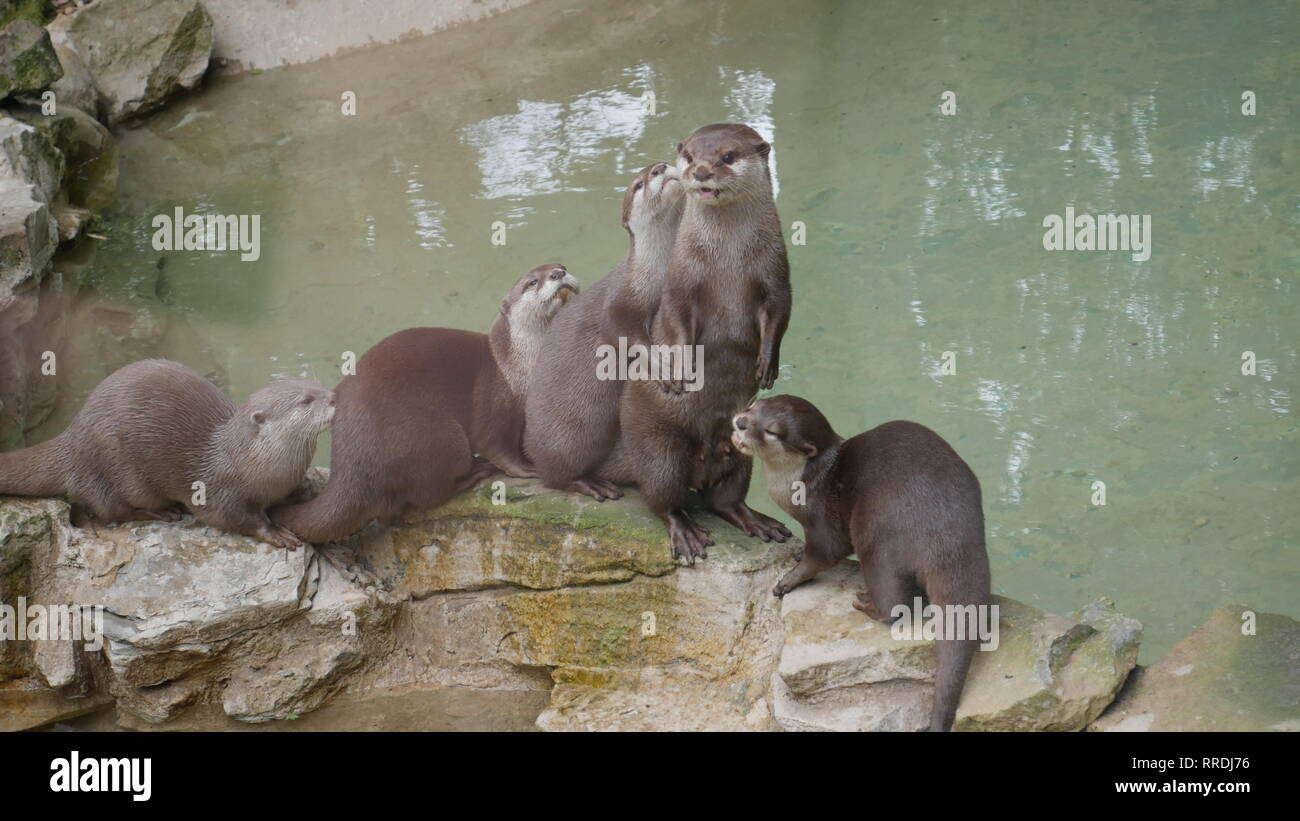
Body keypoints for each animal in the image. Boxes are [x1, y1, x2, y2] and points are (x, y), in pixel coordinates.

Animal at [0, 359, 334, 549]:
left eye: (317, 384)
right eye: (306, 400)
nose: (334, 396)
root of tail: (72, 437)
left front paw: (302, 487)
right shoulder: (222, 493)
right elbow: (239, 519)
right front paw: (275, 531)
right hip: (110, 467)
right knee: (114, 511)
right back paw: (162, 513)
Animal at [271, 264, 578, 543]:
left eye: (560, 266)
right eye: (532, 282)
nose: (558, 273)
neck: (517, 366)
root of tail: (349, 466)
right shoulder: (497, 401)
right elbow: (499, 447)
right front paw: (529, 469)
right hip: (437, 436)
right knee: (429, 494)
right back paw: (473, 472)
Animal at [525, 161, 685, 501]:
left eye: (661, 164)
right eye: (639, 184)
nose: (660, 168)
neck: (659, 269)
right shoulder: (623, 297)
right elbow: (623, 334)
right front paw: (661, 365)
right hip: (567, 443)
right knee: (556, 479)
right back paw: (591, 484)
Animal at [612, 123, 793, 562]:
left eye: (728, 156)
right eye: (691, 156)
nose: (701, 172)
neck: (726, 262)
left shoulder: (776, 275)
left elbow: (779, 315)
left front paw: (767, 364)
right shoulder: (681, 281)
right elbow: (677, 320)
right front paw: (682, 369)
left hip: (738, 452)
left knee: (724, 499)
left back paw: (758, 522)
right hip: (658, 450)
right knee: (662, 500)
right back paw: (686, 533)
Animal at [731, 395, 991, 732]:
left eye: (772, 432)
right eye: (754, 406)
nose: (740, 422)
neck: (801, 483)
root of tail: (949, 534)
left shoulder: (822, 519)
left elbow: (824, 554)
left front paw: (787, 580)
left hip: (877, 535)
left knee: (894, 602)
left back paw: (865, 604)